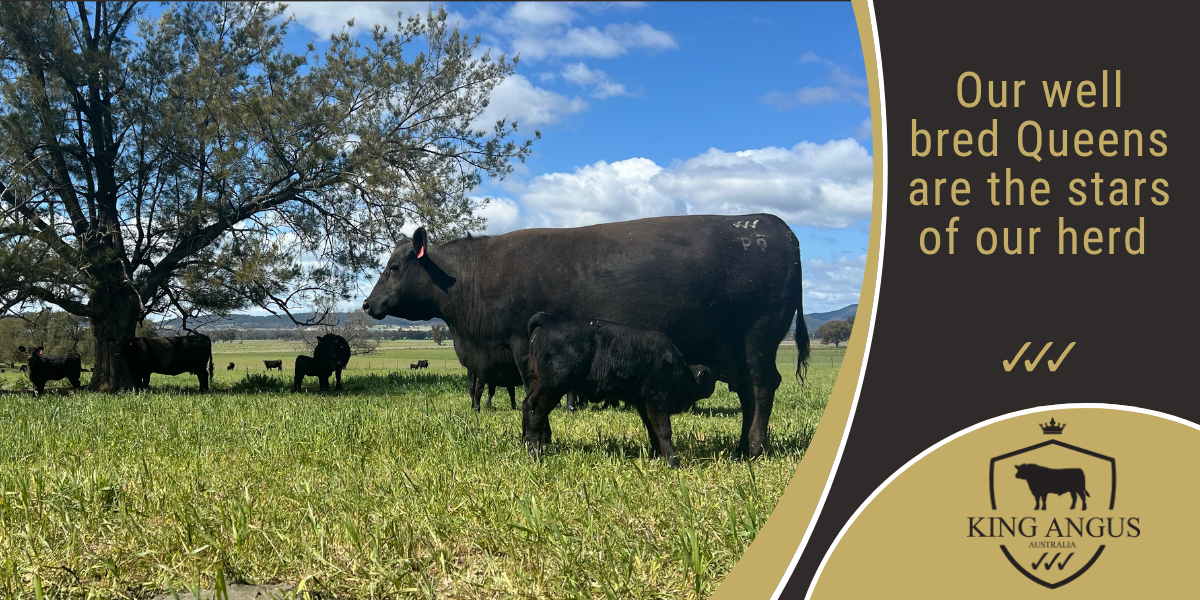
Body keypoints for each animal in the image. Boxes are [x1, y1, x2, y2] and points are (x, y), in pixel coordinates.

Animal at [524, 313, 716, 467]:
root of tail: (548, 318)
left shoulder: (643, 403)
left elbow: (652, 429)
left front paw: (656, 456)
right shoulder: (656, 400)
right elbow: (663, 431)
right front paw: (673, 462)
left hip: (538, 383)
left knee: (527, 406)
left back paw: (531, 446)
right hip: (553, 386)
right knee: (535, 410)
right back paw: (536, 455)